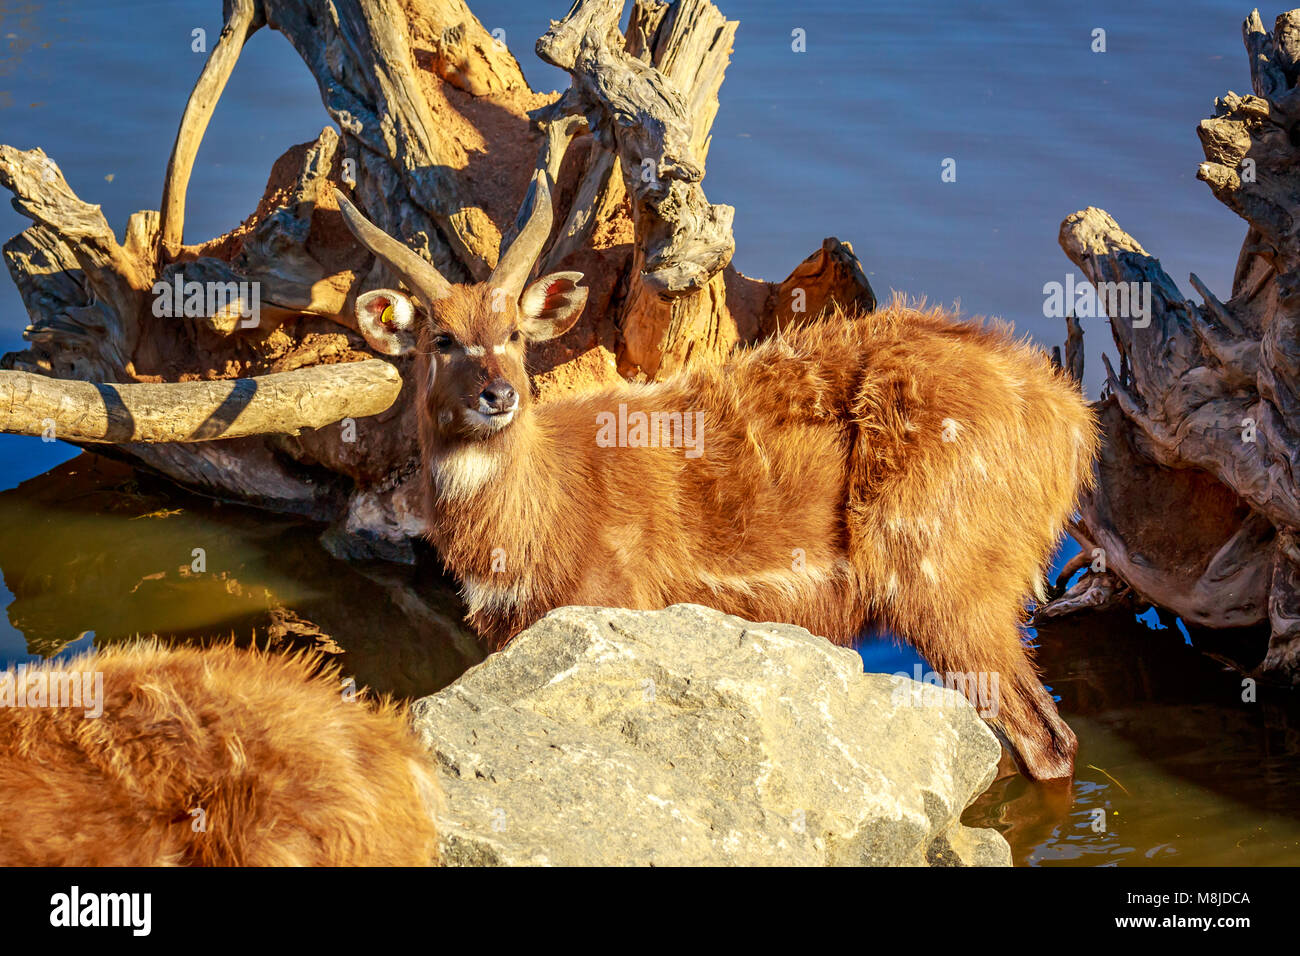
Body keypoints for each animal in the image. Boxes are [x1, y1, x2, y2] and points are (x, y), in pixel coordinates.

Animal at [333, 177, 1099, 781]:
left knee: (1048, 740)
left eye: (516, 335)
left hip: (948, 584)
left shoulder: (609, 605)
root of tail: (1070, 420)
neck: (538, 511)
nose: (499, 395)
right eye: (441, 339)